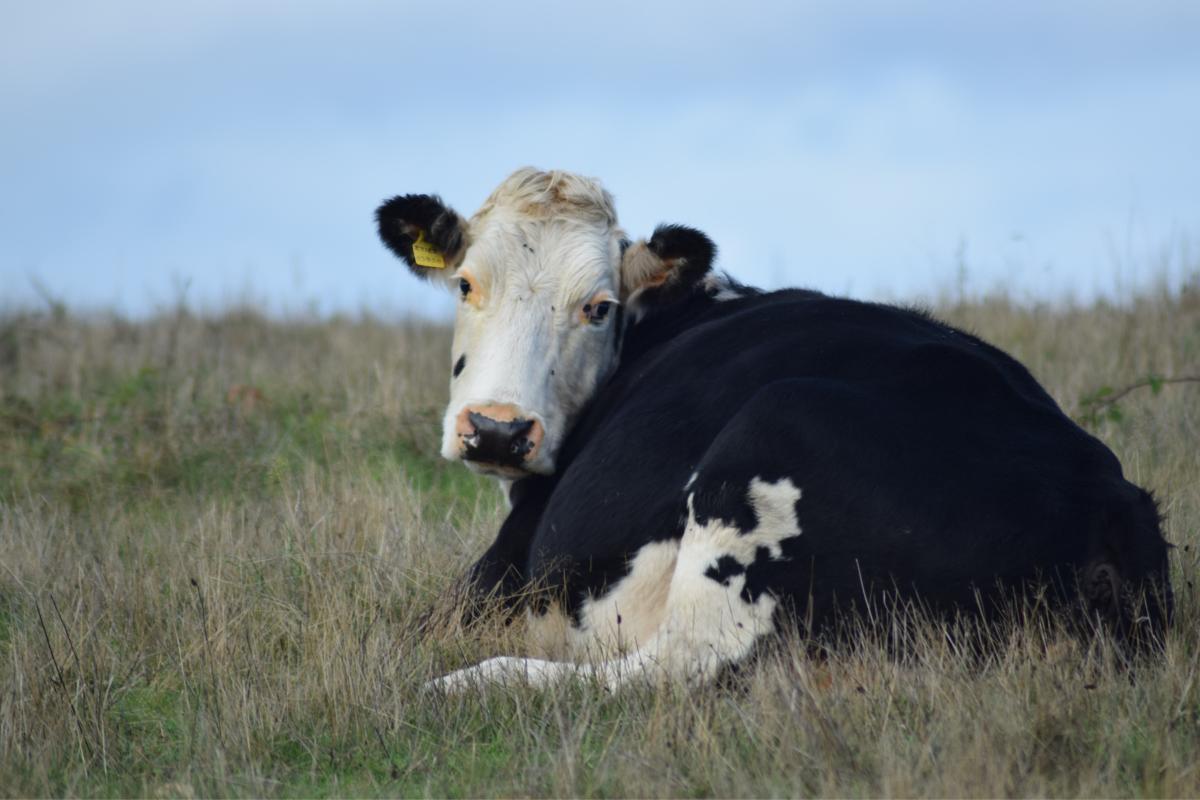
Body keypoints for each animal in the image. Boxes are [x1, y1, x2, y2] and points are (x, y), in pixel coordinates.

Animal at [374, 168, 1173, 690]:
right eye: (466, 284)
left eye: (598, 307)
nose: (498, 430)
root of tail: (1108, 499)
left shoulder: (501, 571)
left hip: (770, 446)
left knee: (667, 671)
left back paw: (468, 683)